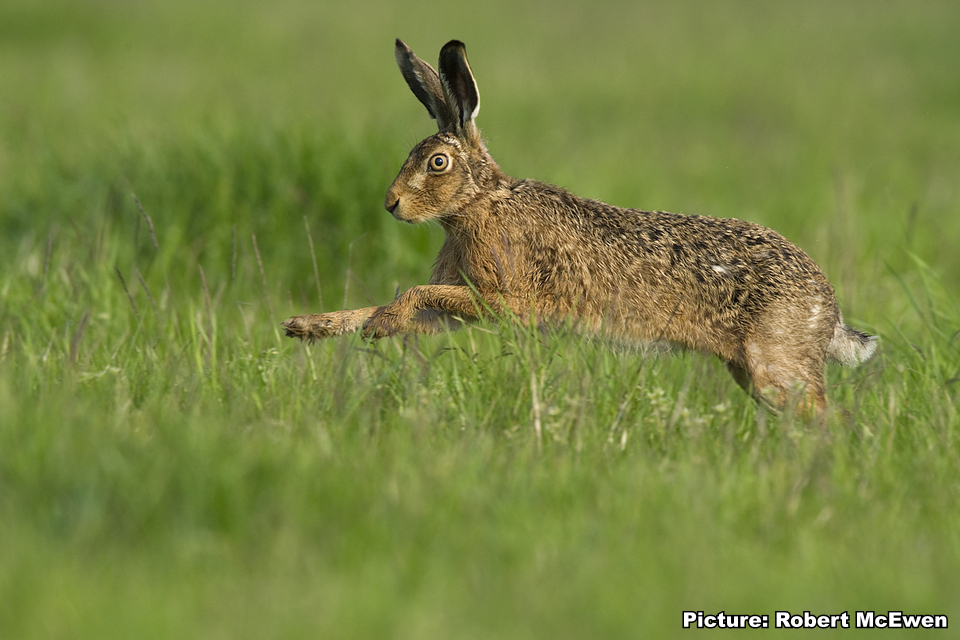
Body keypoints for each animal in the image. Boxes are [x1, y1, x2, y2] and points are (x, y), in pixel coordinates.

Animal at [282, 39, 878, 415]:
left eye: (437, 163)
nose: (391, 204)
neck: (482, 203)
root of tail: (826, 303)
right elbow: (393, 303)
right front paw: (309, 327)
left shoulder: (509, 302)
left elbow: (415, 293)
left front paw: (378, 325)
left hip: (776, 365)